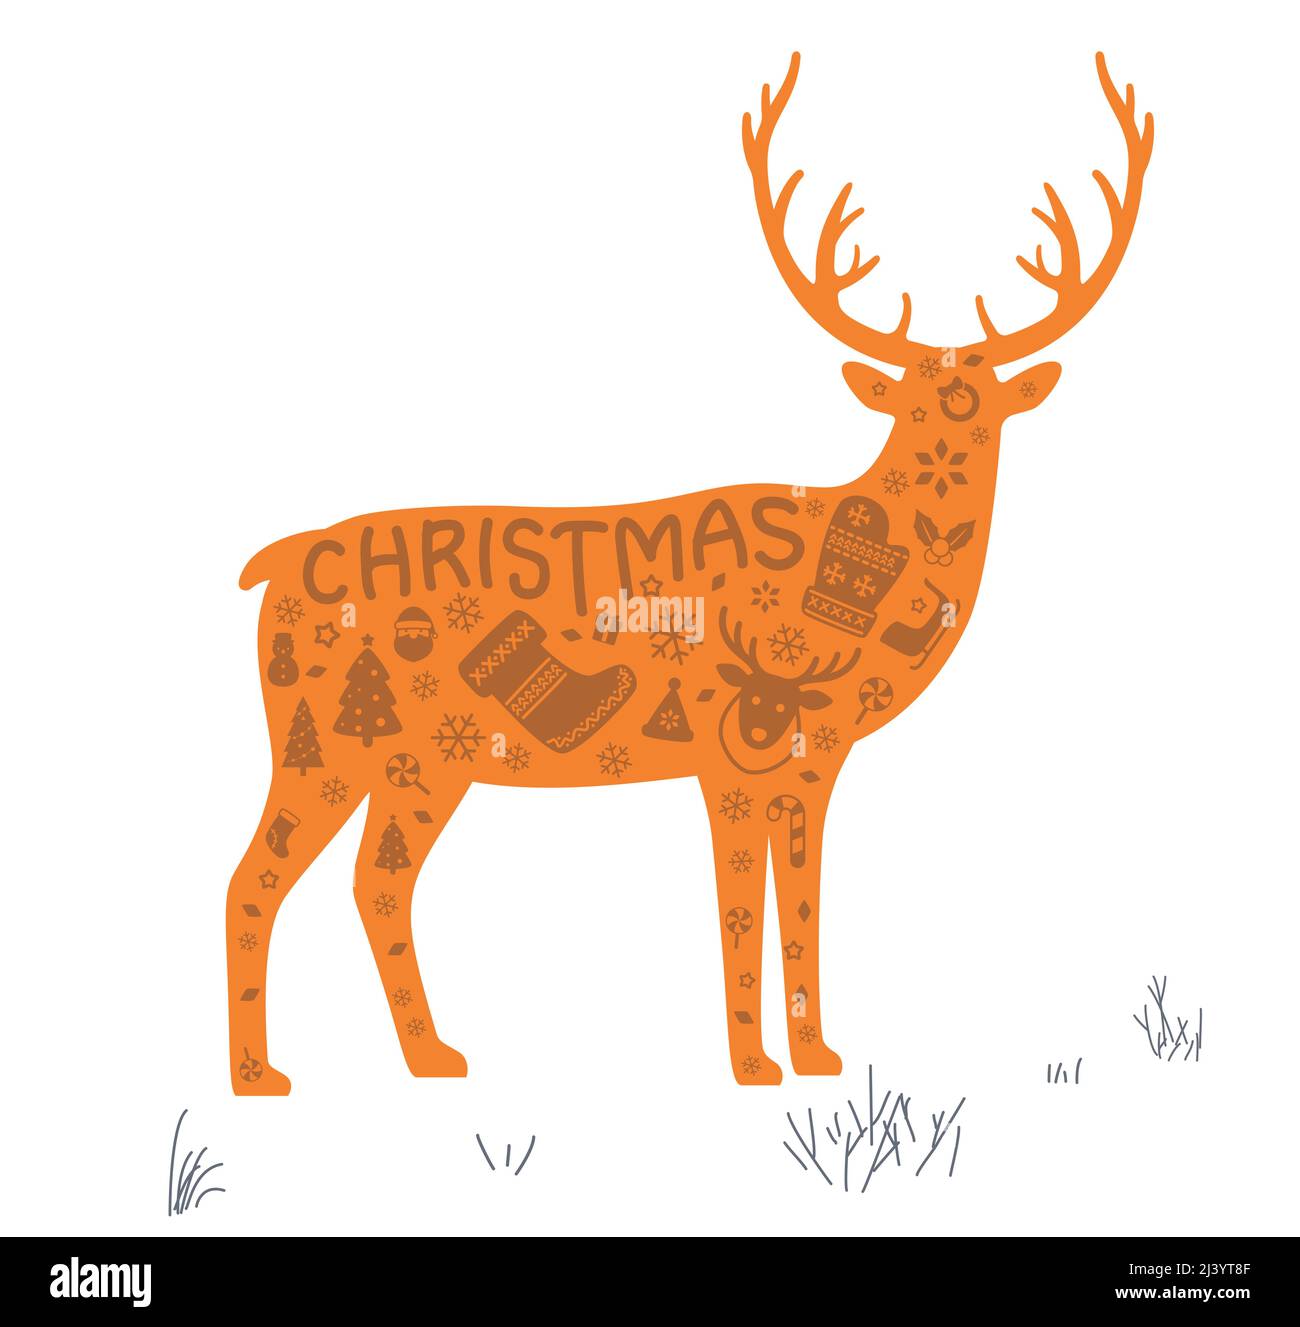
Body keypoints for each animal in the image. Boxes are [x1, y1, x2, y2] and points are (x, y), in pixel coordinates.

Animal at [228, 51, 1153, 1092]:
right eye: (913, 412)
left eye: (986, 411)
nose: (948, 498)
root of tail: (270, 567)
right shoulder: (727, 751)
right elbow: (740, 905)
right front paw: (755, 1067)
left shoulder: (812, 764)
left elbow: (803, 902)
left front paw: (820, 1055)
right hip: (320, 739)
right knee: (255, 878)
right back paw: (261, 1075)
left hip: (419, 761)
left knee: (376, 879)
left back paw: (432, 1057)